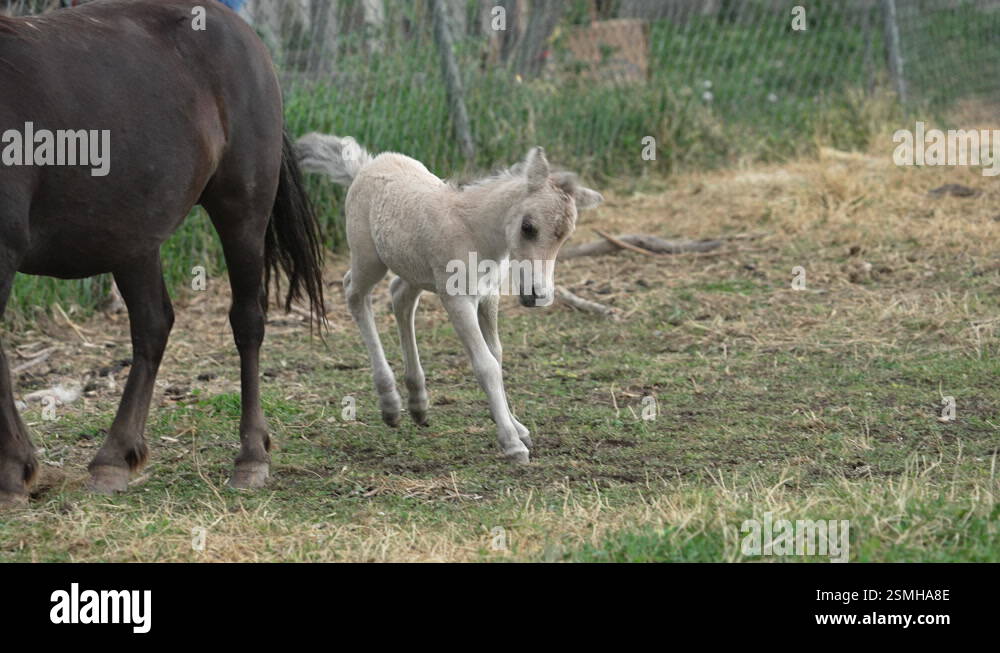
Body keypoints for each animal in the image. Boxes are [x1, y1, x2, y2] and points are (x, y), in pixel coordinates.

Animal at [0, 0, 325, 506]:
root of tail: (238, 29)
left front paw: (13, 471)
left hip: (242, 208)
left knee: (247, 320)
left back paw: (251, 457)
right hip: (132, 236)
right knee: (153, 324)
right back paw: (114, 458)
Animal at [296, 133, 602, 463]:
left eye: (565, 237)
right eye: (528, 227)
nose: (537, 296)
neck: (475, 233)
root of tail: (364, 166)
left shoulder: (488, 296)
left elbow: (496, 355)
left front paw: (516, 426)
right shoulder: (457, 299)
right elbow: (485, 364)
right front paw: (512, 443)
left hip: (413, 267)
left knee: (400, 296)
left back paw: (418, 402)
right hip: (369, 258)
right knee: (354, 294)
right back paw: (390, 403)